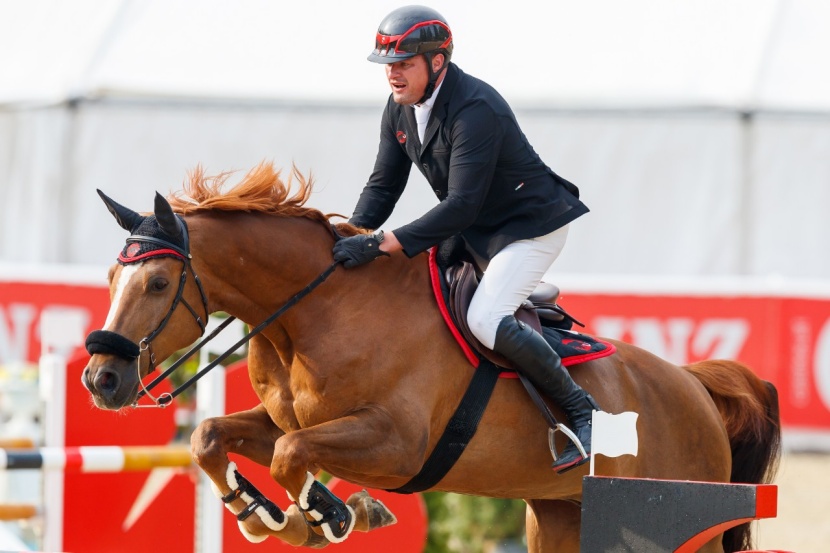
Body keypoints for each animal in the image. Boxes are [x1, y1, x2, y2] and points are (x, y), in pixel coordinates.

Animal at [82, 163, 780, 552]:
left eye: (158, 284)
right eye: (112, 278)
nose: (101, 380)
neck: (315, 312)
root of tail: (695, 386)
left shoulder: (396, 443)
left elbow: (290, 457)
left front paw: (329, 517)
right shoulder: (290, 420)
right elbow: (211, 438)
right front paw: (267, 518)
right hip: (561, 519)